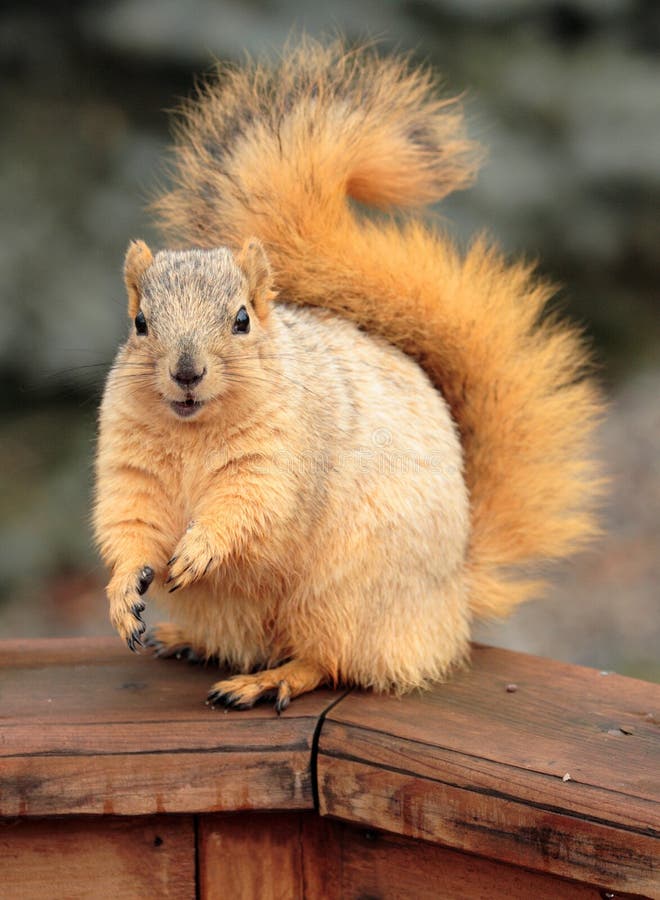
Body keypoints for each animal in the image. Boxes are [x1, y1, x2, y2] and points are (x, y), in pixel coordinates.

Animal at [94, 39, 603, 711]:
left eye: (242, 319)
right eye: (140, 322)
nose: (186, 373)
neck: (191, 432)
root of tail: (450, 601)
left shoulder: (283, 461)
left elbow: (251, 507)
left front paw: (200, 550)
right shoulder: (131, 465)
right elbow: (129, 521)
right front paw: (126, 590)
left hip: (343, 596)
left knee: (329, 660)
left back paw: (270, 679)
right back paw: (190, 640)